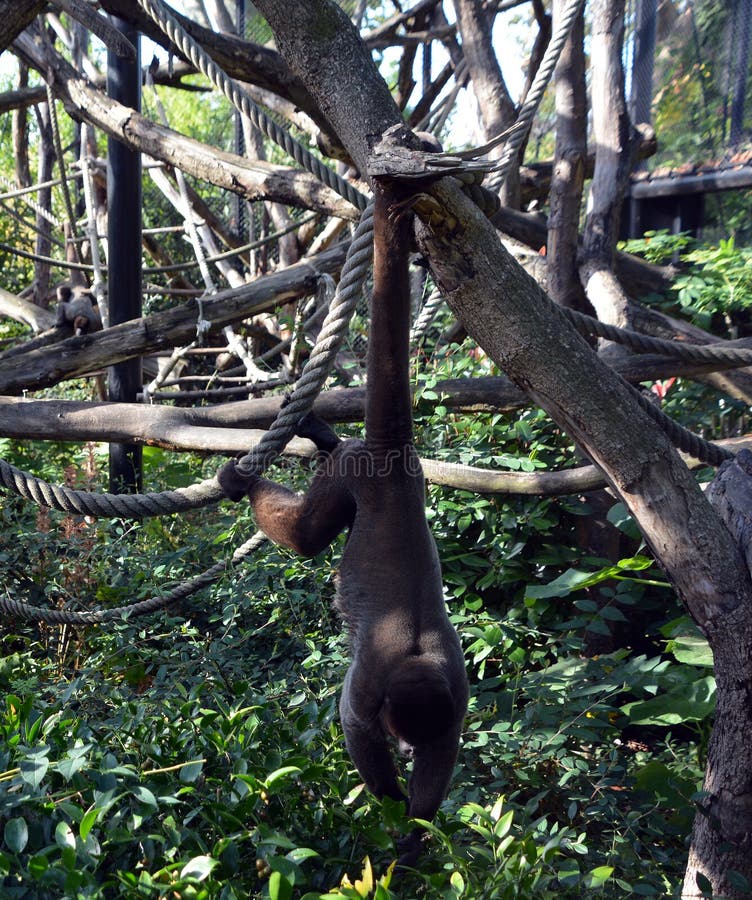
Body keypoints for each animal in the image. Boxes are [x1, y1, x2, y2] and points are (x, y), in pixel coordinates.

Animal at [218, 175, 469, 867]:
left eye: (415, 736)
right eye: (398, 728)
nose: (406, 747)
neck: (415, 663)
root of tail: (392, 454)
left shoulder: (453, 699)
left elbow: (444, 755)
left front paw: (415, 833)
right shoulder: (370, 686)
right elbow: (355, 729)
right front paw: (394, 814)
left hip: (380, 471)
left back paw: (319, 433)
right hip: (357, 474)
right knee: (307, 536)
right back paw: (245, 481)